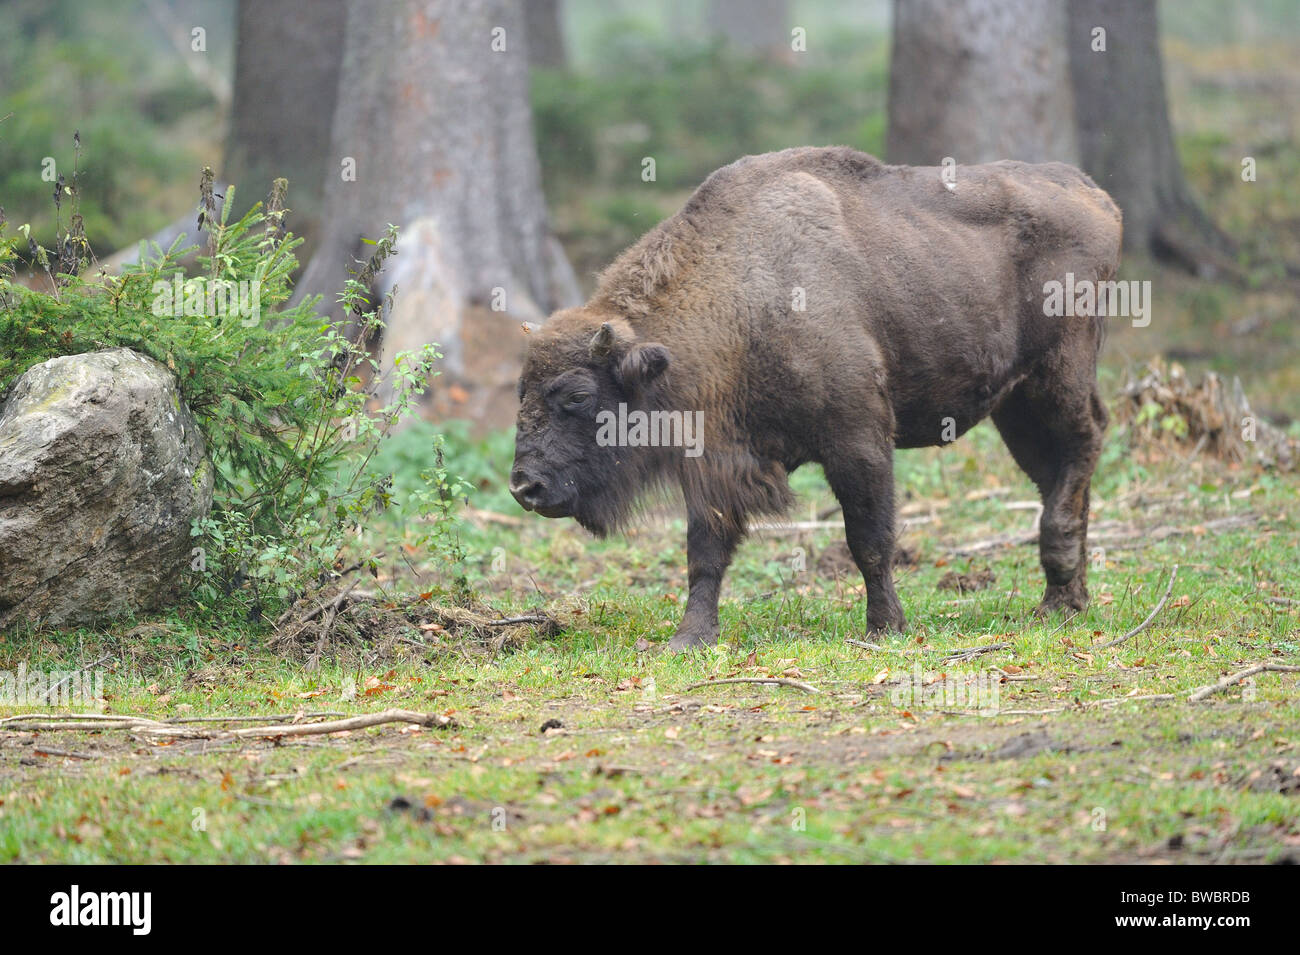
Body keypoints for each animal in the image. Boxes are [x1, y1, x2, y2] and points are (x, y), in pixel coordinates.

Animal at [510, 146, 1121, 651]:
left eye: (577, 395)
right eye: (522, 391)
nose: (524, 486)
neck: (741, 299)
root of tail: (1095, 194)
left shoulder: (858, 442)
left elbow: (868, 539)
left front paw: (884, 628)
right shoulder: (716, 466)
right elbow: (704, 555)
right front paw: (689, 639)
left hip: (1058, 377)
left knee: (1083, 446)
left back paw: (1057, 595)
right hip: (1015, 406)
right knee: (1057, 474)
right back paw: (1066, 600)